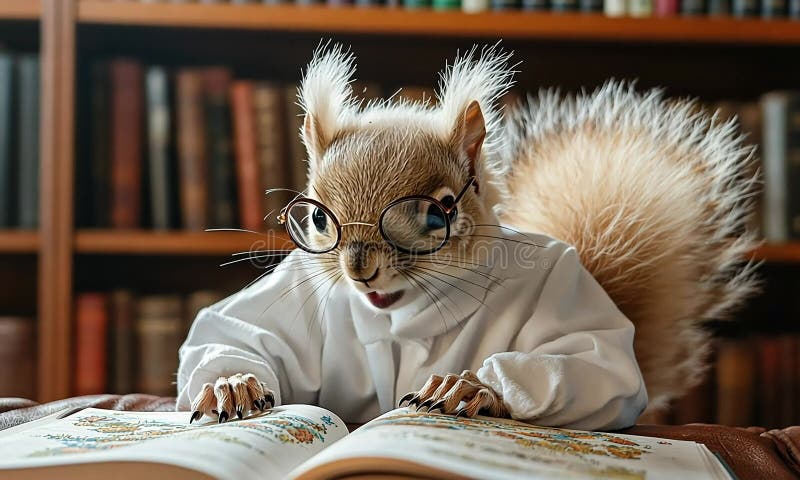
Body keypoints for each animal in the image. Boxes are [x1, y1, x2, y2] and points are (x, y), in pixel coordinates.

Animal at [176, 44, 758, 429]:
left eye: (439, 216)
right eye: (319, 219)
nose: (360, 272)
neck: (402, 314)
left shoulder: (566, 288)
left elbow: (594, 360)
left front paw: (470, 387)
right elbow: (238, 332)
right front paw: (232, 384)